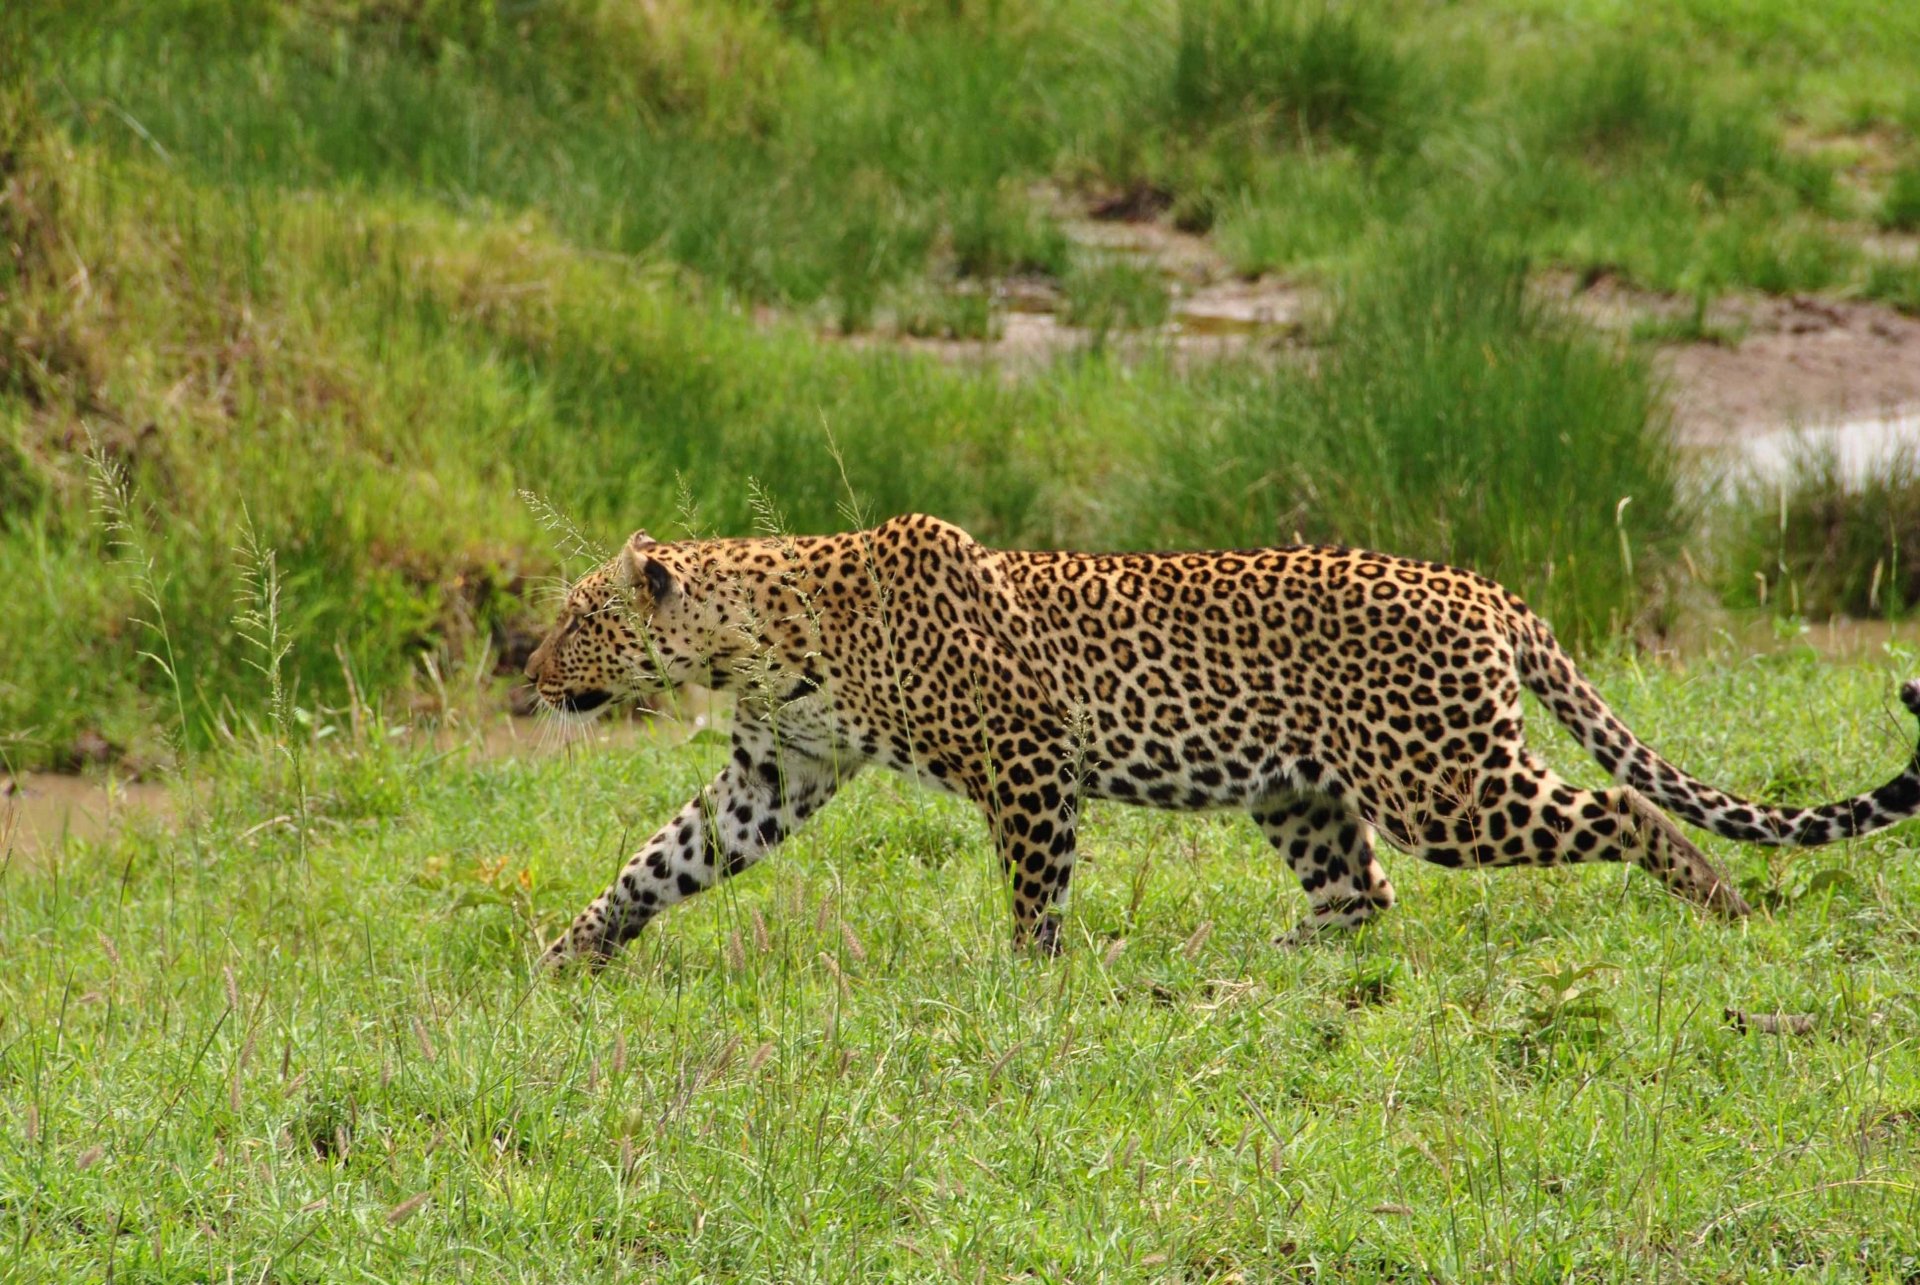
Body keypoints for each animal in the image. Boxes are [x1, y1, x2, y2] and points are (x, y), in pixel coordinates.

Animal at [525, 513, 1920, 966]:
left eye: (577, 620)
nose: (527, 674)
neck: (757, 633)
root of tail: (1486, 587)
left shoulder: (1028, 762)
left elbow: (1033, 891)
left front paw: (1029, 981)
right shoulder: (777, 772)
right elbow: (664, 858)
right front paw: (569, 954)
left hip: (1444, 780)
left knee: (1622, 810)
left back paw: (1725, 907)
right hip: (1301, 790)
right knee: (1361, 894)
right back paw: (1266, 956)